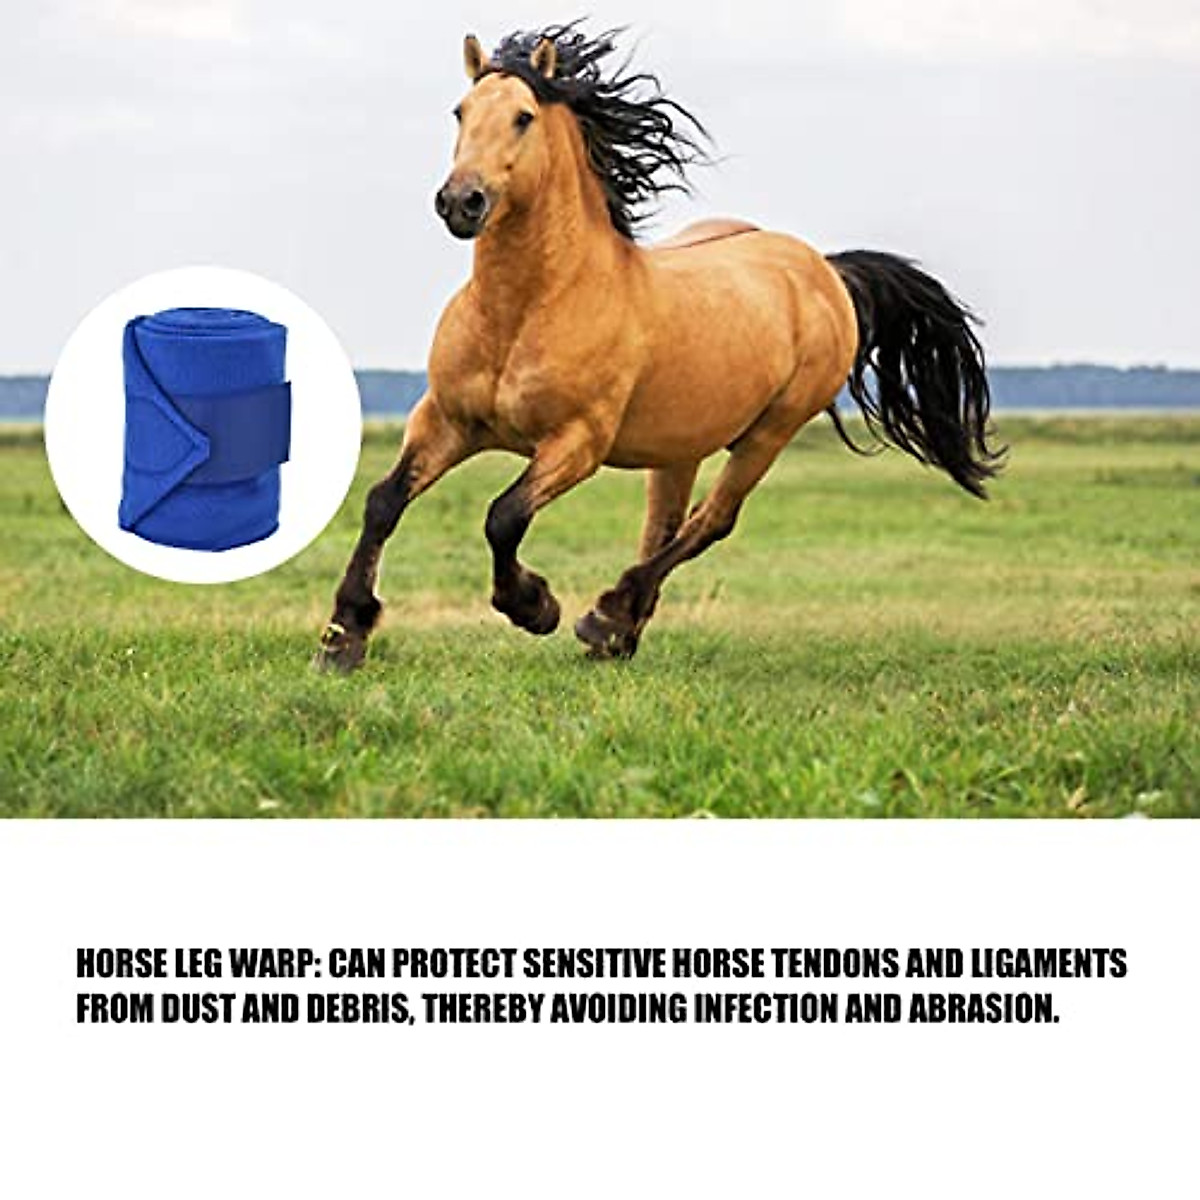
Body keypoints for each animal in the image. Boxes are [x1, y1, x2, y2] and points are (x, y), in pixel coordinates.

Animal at [315, 23, 1003, 672]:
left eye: (523, 117)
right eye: (460, 112)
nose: (462, 201)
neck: (525, 310)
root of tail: (824, 269)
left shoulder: (577, 443)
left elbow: (502, 516)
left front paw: (535, 606)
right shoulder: (446, 421)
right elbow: (383, 502)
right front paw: (343, 636)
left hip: (770, 432)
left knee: (711, 522)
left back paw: (606, 616)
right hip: (680, 446)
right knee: (665, 525)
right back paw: (619, 633)